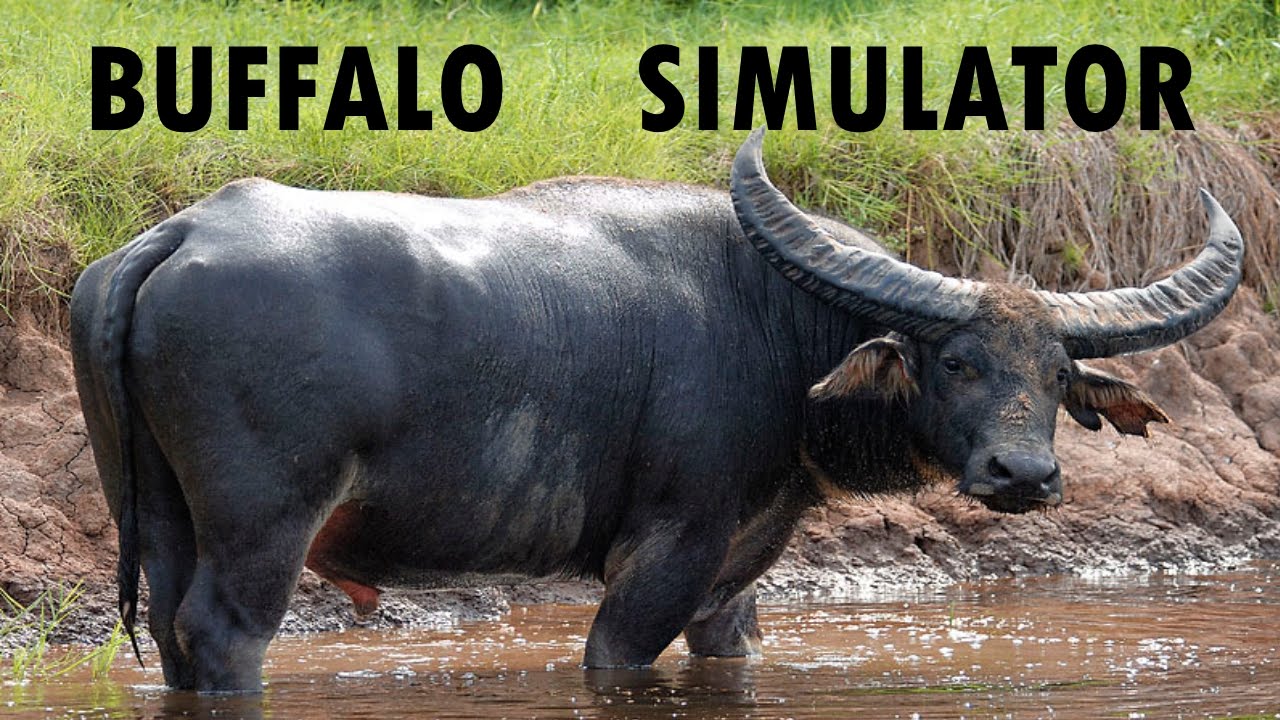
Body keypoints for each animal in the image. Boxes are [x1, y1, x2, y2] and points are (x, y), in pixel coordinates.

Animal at [69, 129, 1244, 693]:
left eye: (1054, 369)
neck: (774, 325)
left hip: (160, 515)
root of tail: (175, 235)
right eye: (952, 361)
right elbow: (620, 653)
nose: (1022, 476)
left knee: (171, 632)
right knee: (225, 635)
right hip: (264, 522)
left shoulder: (737, 572)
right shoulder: (662, 555)